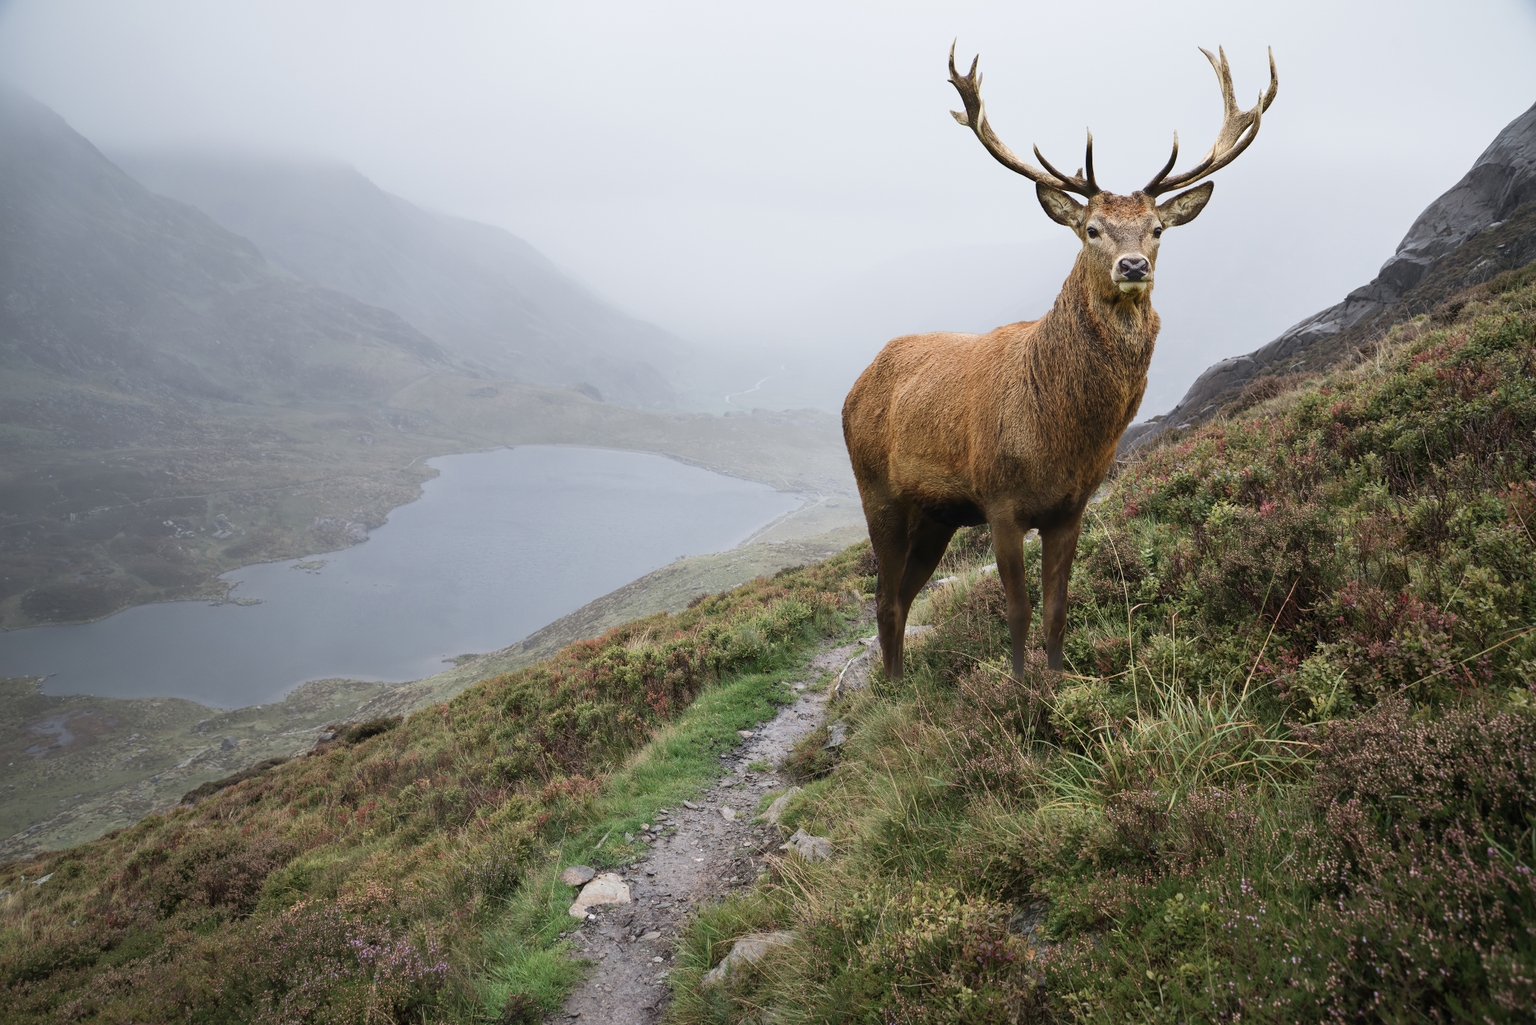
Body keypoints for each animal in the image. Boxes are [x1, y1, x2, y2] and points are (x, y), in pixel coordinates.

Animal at [843, 43, 1277, 683]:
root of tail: (854, 387)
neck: (1059, 437)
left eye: (1156, 229)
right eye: (1091, 228)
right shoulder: (999, 501)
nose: (1132, 266)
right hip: (878, 491)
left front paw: (1056, 680)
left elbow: (1057, 609)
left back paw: (898, 682)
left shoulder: (1072, 507)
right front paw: (1020, 688)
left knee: (902, 594)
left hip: (937, 517)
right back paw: (893, 687)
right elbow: (1017, 610)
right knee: (884, 596)